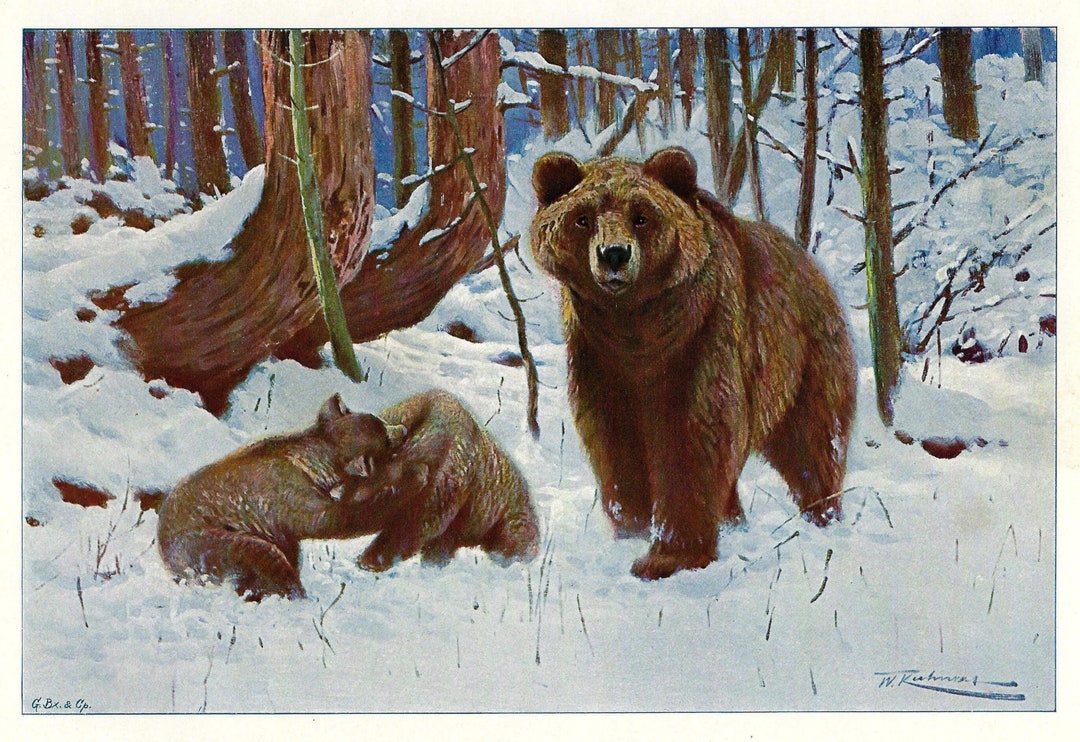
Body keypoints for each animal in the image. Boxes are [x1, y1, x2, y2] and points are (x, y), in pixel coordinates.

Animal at [157, 394, 415, 600]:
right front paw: (398, 493)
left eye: (380, 421)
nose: (402, 429)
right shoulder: (288, 494)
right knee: (263, 556)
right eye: (385, 438)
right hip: (208, 544)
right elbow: (331, 520)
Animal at [529, 146, 857, 580]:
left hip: (805, 360)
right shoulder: (599, 361)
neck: (635, 327)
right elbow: (615, 446)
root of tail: (812, 265)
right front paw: (632, 531)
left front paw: (668, 555)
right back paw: (737, 522)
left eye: (641, 215)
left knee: (814, 443)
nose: (614, 254)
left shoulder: (699, 343)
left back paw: (822, 516)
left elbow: (695, 441)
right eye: (583, 218)